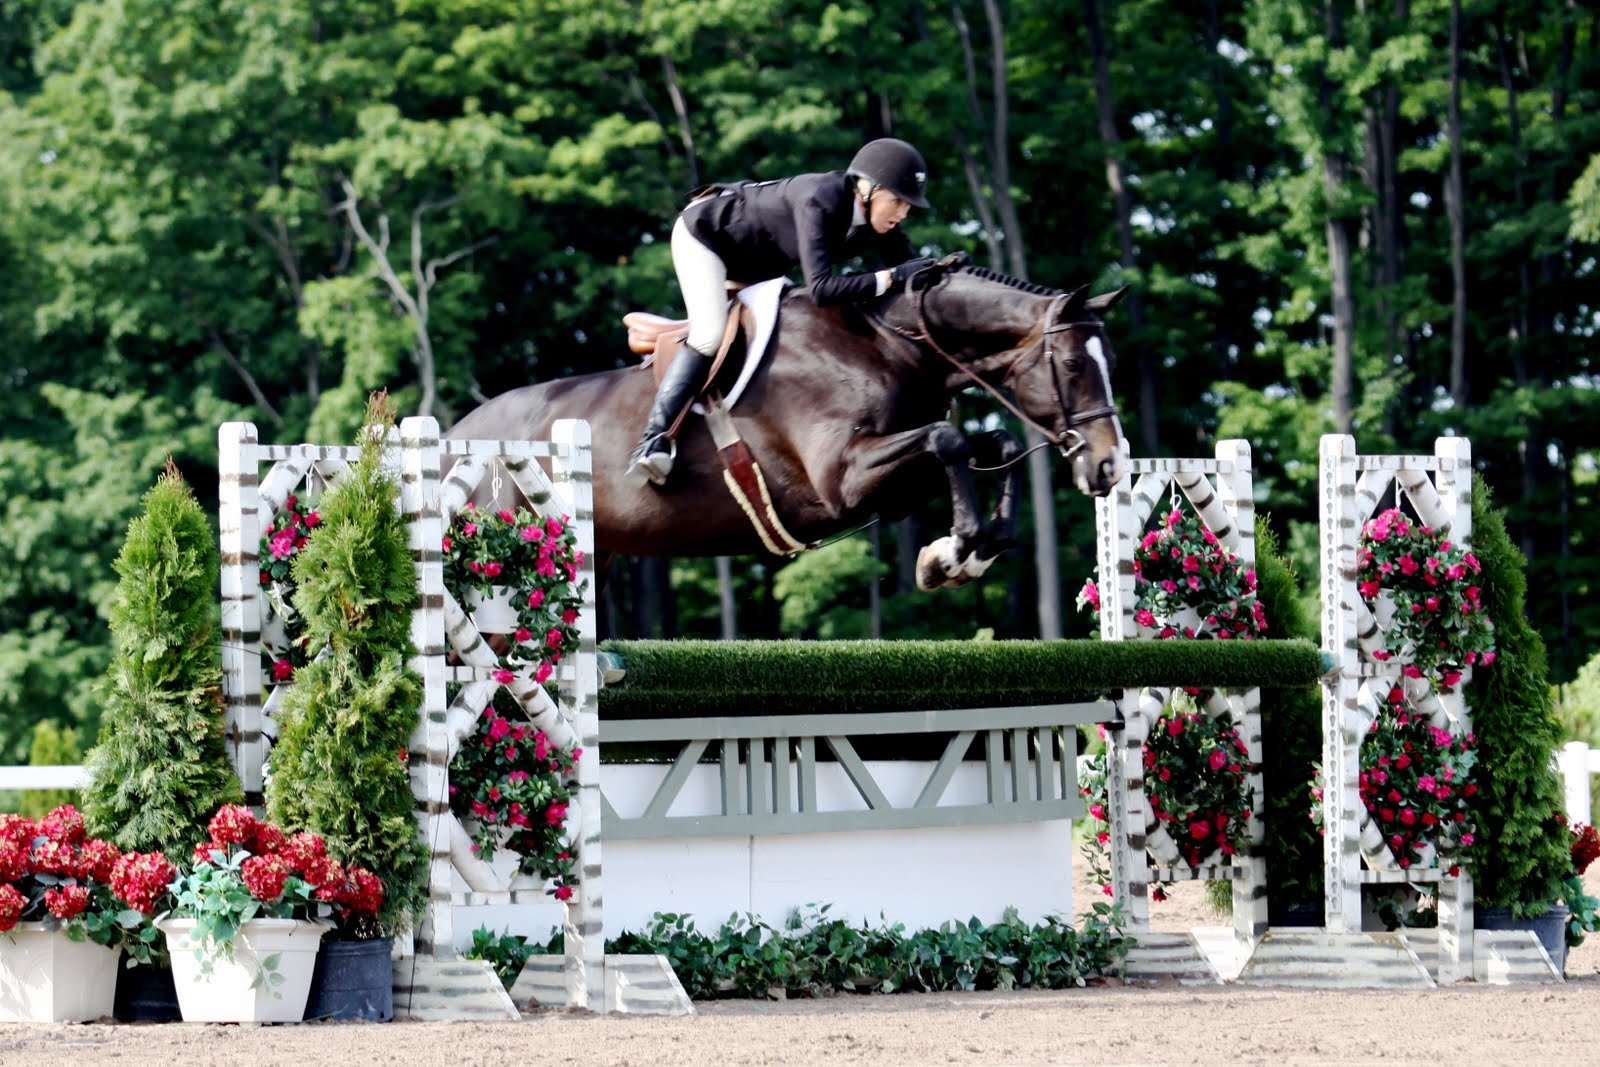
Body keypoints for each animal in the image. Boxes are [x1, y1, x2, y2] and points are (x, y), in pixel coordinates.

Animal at [447, 255, 1126, 591]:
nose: (1110, 464)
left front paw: (968, 552)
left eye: (1110, 362)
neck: (888, 341)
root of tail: (456, 435)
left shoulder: (893, 486)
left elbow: (993, 440)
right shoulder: (843, 481)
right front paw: (956, 552)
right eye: (1072, 363)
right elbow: (949, 437)